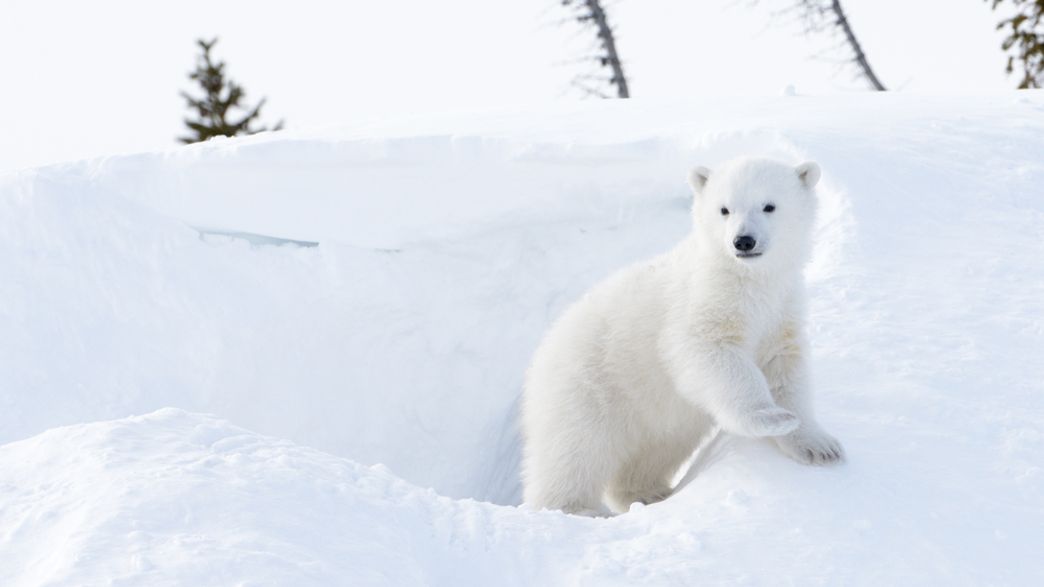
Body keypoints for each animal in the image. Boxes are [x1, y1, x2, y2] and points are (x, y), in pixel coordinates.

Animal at [520, 157, 844, 516]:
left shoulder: (780, 309)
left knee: (656, 450)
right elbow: (710, 354)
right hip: (589, 386)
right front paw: (771, 418)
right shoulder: (700, 303)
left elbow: (785, 369)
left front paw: (819, 446)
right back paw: (574, 508)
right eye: (724, 209)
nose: (743, 241)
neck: (747, 279)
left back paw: (649, 493)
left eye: (769, 205)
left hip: (656, 412)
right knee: (576, 449)